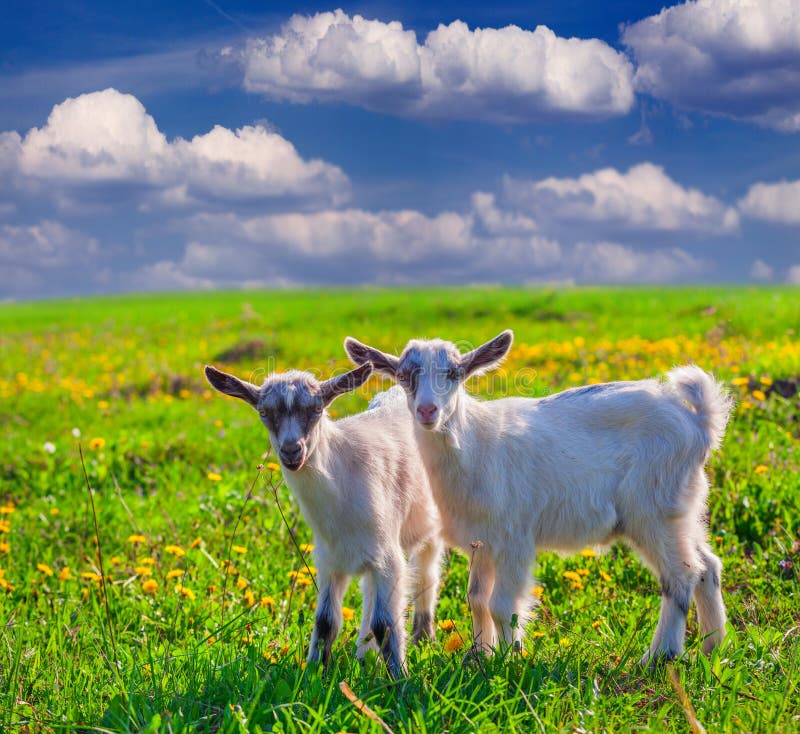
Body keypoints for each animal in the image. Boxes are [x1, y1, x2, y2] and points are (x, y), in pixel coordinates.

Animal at [205, 363, 443, 678]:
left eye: (317, 409)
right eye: (264, 412)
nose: (292, 451)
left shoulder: (386, 556)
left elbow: (385, 625)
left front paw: (400, 680)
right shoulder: (330, 560)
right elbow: (326, 621)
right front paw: (314, 673)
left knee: (427, 573)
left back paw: (423, 638)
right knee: (370, 592)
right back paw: (364, 655)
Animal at [344, 331, 733, 665]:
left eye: (454, 373)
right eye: (403, 375)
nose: (427, 411)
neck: (475, 445)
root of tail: (698, 425)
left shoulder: (515, 537)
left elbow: (502, 605)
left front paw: (509, 659)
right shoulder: (482, 541)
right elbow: (477, 599)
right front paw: (480, 656)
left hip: (652, 509)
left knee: (680, 576)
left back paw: (659, 656)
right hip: (682, 508)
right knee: (707, 565)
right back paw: (712, 648)